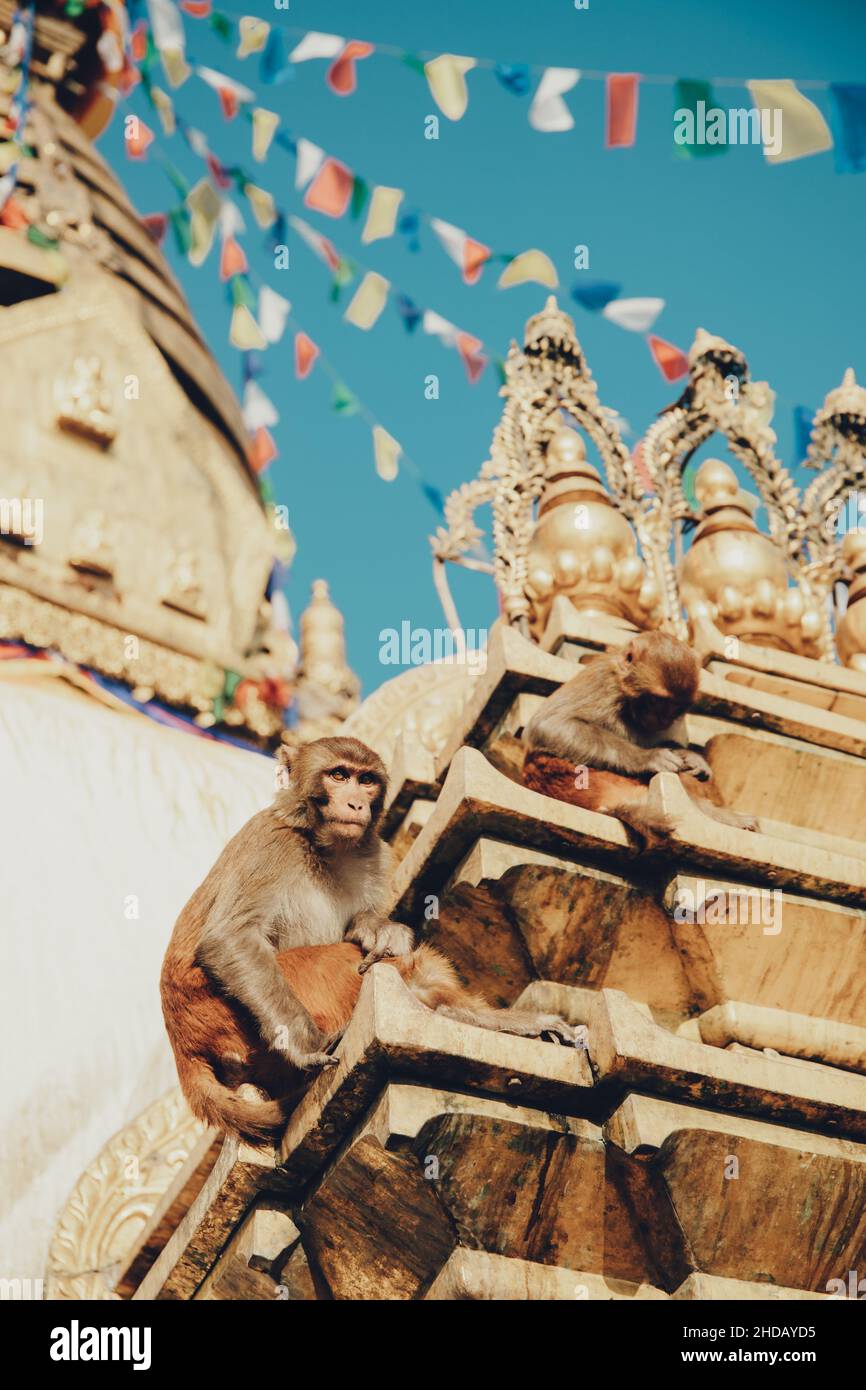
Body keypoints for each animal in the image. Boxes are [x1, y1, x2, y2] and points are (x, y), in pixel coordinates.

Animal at [523, 629, 760, 846]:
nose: (664, 718)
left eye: (676, 706)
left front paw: (691, 757)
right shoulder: (603, 679)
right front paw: (649, 758)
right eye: (657, 701)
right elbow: (550, 724)